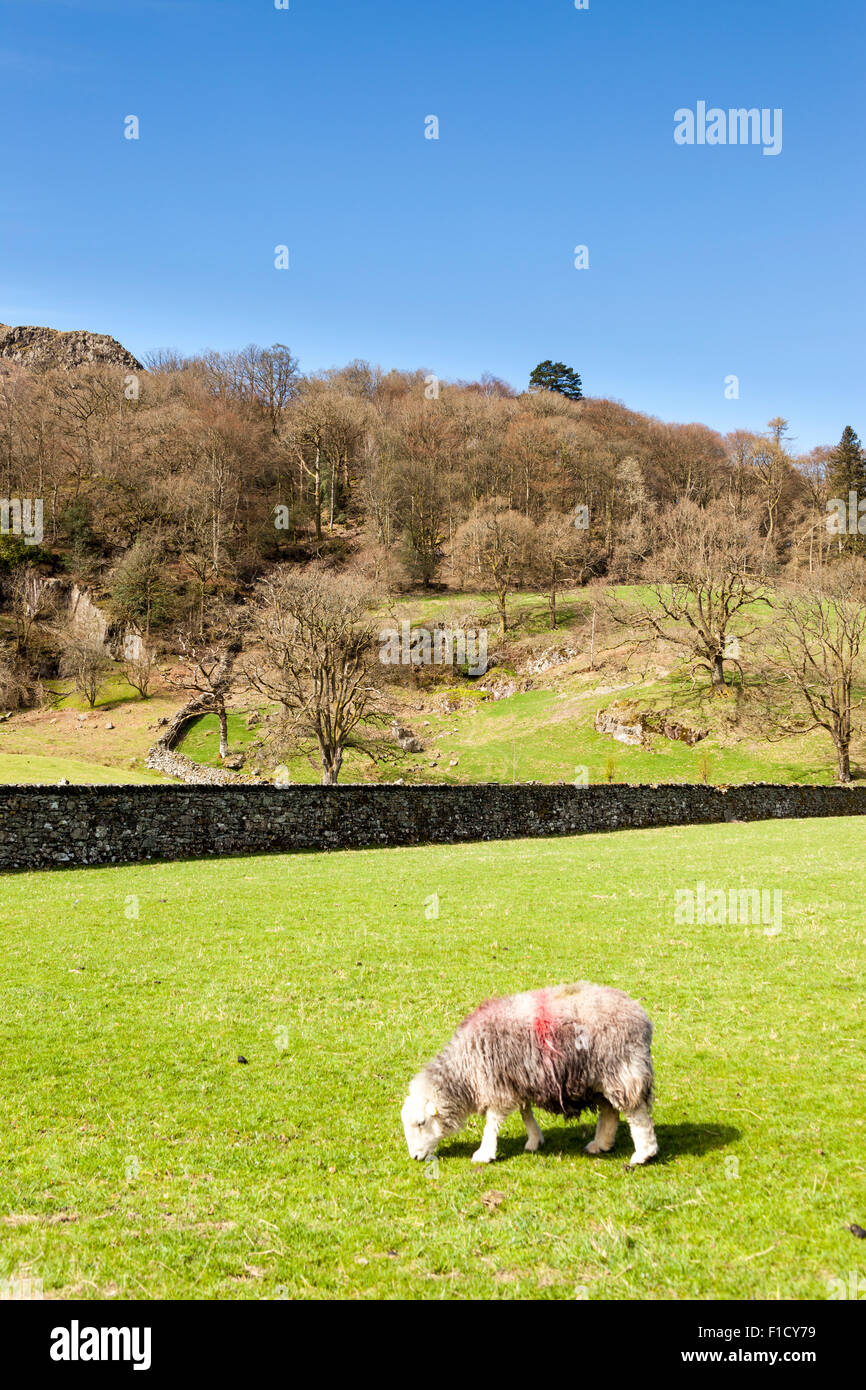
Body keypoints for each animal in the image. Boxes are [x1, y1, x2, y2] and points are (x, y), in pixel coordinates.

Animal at [401, 982, 658, 1166]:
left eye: (422, 1123)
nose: (415, 1157)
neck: (466, 1069)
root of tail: (641, 1015)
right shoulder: (518, 1080)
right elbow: (526, 1113)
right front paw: (534, 1140)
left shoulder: (497, 1083)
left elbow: (492, 1121)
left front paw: (484, 1153)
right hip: (600, 1078)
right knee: (610, 1111)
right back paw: (601, 1144)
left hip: (622, 1069)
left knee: (636, 1114)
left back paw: (643, 1154)